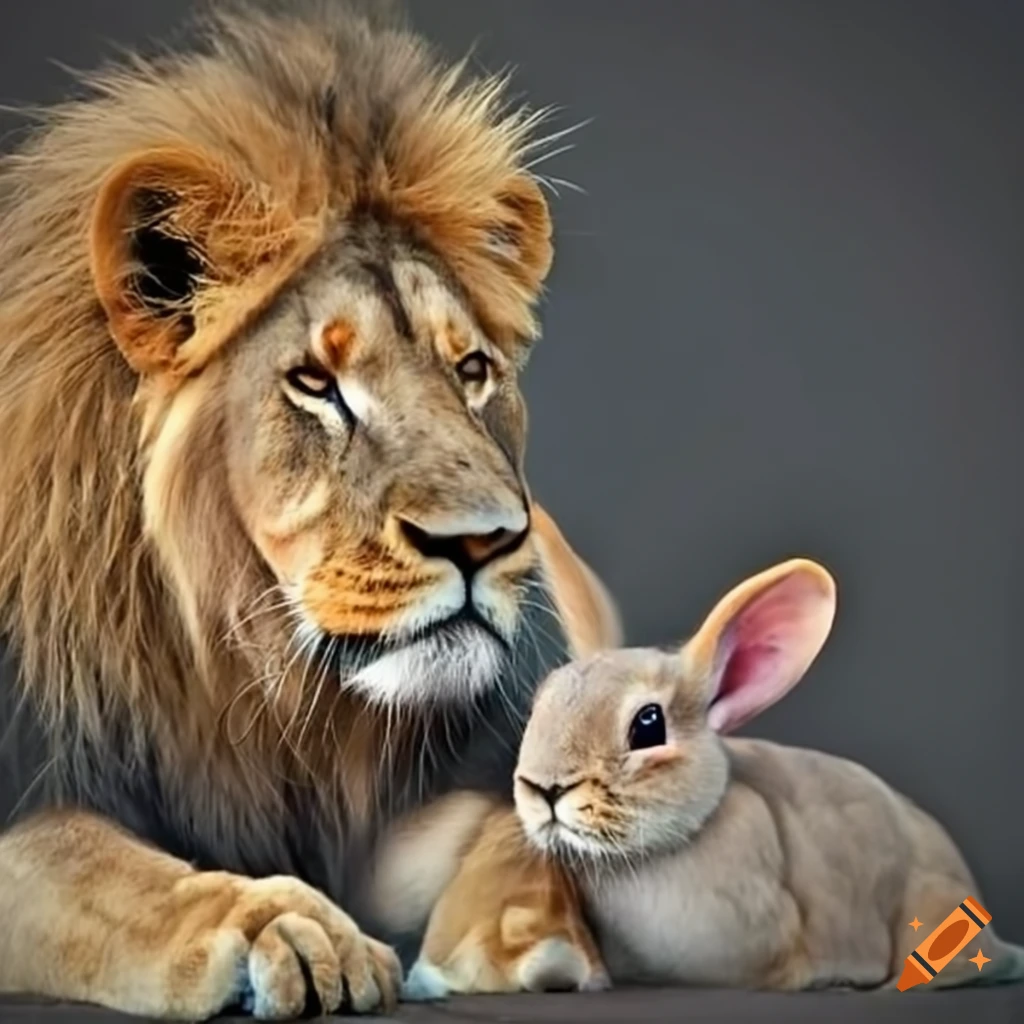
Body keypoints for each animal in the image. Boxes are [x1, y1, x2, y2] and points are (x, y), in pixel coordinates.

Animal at [0, 2, 621, 1018]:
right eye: (315, 383)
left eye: (472, 370)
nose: (483, 541)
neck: (252, 679)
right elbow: (107, 874)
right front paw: (286, 928)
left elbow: (510, 816)